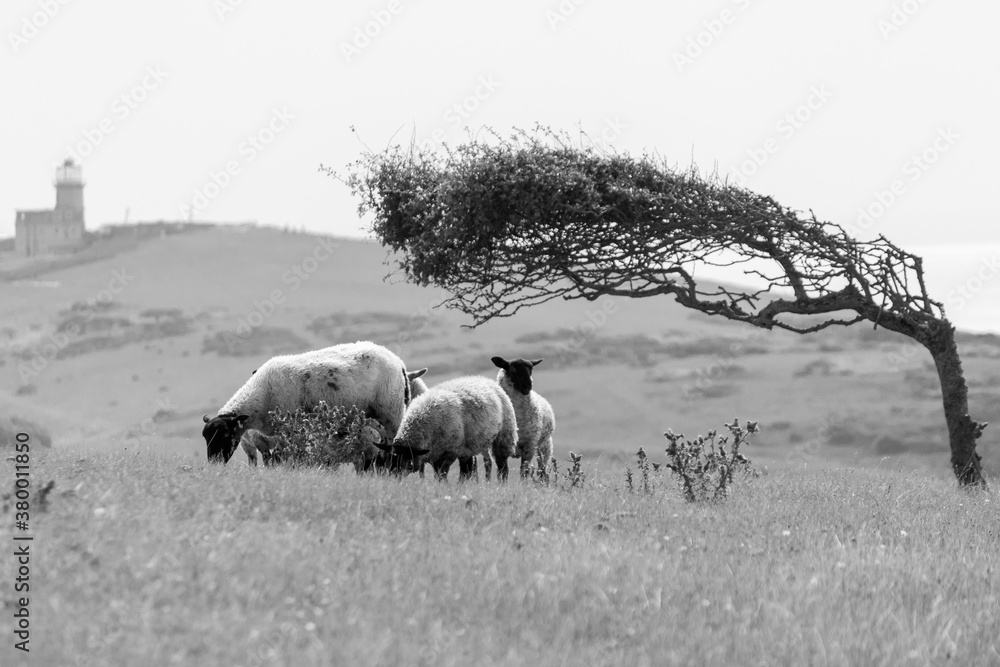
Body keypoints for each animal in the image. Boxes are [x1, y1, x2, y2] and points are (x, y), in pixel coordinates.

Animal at [202, 340, 427, 464]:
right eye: (205, 437)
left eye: (225, 435)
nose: (214, 463)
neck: (261, 396)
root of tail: (399, 362)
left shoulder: (289, 426)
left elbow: (283, 457)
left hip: (391, 411)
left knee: (392, 446)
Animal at [387, 375, 517, 481]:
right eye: (394, 460)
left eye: (409, 463)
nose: (397, 479)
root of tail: (486, 379)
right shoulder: (436, 453)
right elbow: (440, 473)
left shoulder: (449, 452)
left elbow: (442, 473)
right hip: (468, 447)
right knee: (468, 468)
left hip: (504, 436)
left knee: (502, 465)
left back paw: (502, 483)